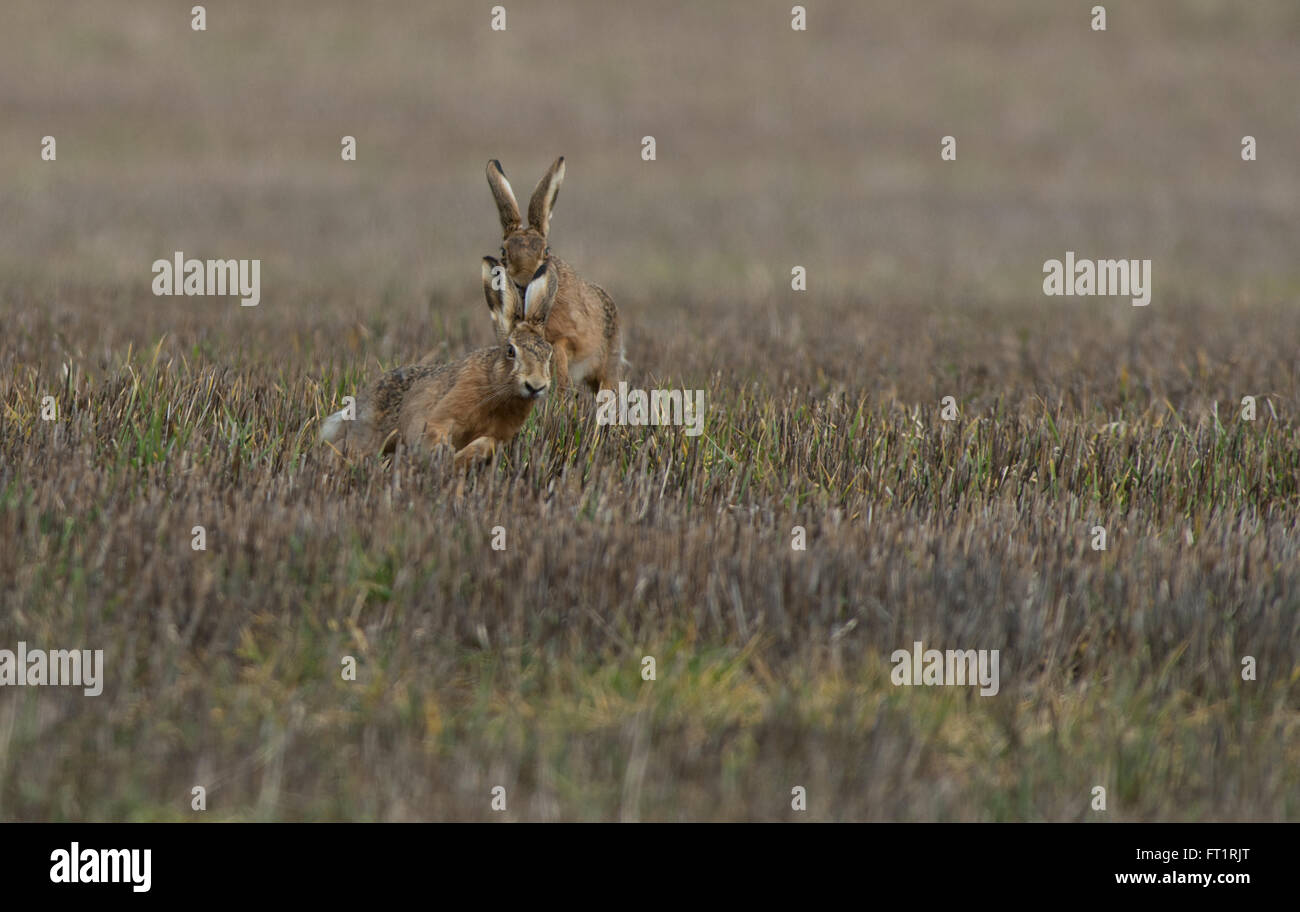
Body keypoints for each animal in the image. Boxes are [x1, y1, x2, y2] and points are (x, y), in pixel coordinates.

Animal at [321, 257, 556, 468]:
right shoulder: (440, 415)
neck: (497, 384)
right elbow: (434, 432)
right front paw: (443, 454)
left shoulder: (499, 436)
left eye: (549, 354)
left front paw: (463, 457)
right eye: (510, 351)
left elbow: (487, 443)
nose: (535, 385)